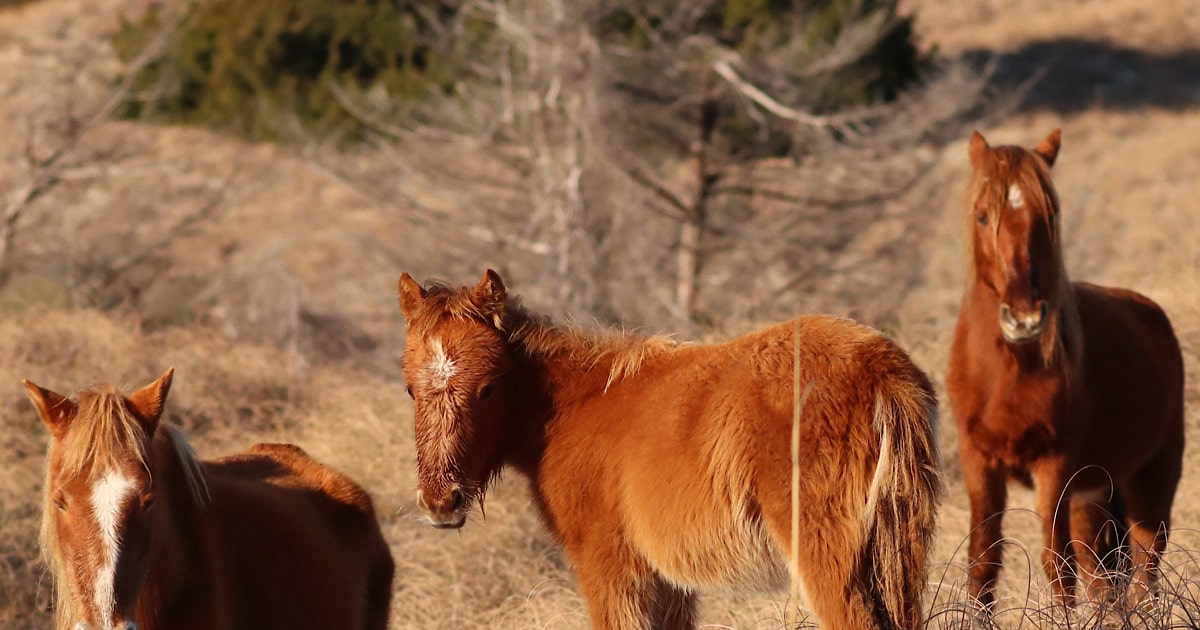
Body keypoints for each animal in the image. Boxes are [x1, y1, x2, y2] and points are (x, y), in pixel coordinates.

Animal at [397, 269, 942, 629]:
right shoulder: (670, 583)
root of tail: (880, 370)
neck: (576, 402)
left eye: (487, 388)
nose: (441, 502)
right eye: (409, 390)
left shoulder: (611, 568)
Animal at [947, 129, 1185, 609]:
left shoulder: (1053, 465)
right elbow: (982, 564)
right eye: (982, 217)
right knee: (1102, 576)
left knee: (1143, 570)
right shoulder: (977, 460)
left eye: (1049, 215)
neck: (1007, 373)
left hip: (1151, 481)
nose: (1024, 318)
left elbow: (1058, 567)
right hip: (1093, 493)